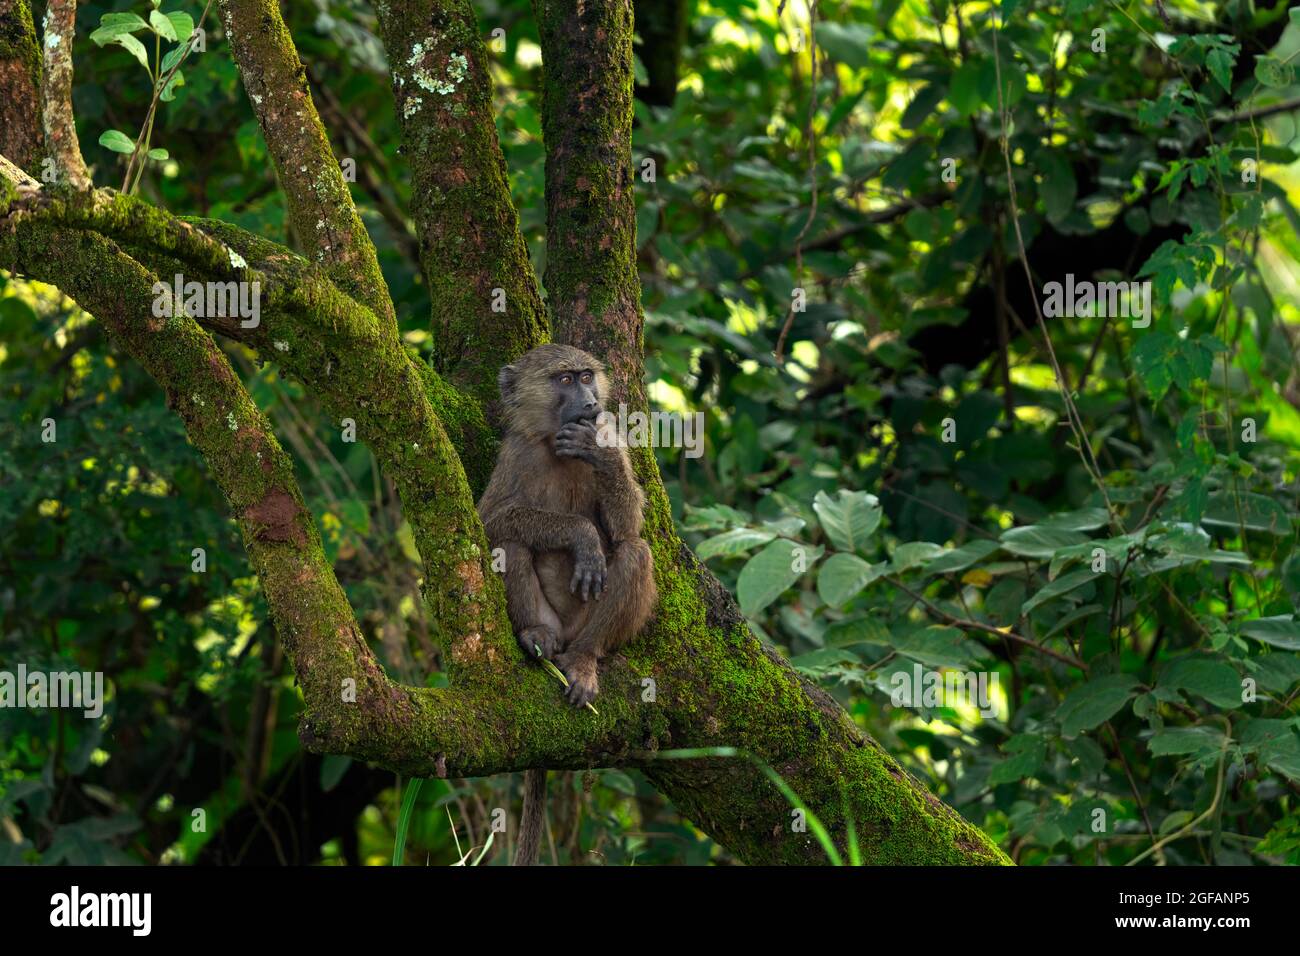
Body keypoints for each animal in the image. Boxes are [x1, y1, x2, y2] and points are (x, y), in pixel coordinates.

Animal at [476, 343, 656, 865]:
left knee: (636, 552)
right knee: (509, 543)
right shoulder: (515, 452)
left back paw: (581, 662)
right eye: (563, 380)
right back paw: (537, 636)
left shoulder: (614, 435)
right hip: (551, 618)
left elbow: (628, 528)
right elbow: (491, 519)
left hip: (596, 628)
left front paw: (597, 452)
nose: (590, 403)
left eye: (586, 376)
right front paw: (582, 539)